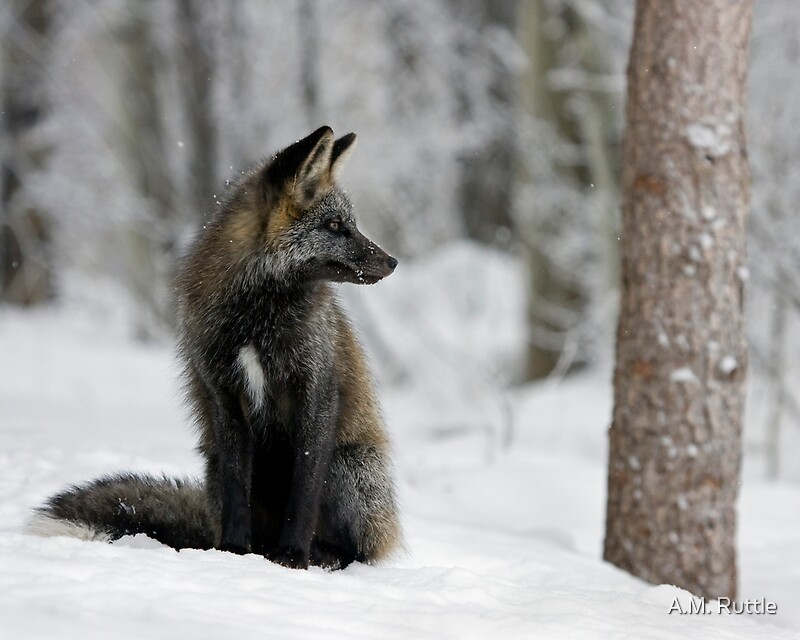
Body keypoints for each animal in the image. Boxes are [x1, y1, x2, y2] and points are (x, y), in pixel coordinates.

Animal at [29, 126, 402, 570]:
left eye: (351, 224)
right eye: (334, 225)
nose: (393, 261)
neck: (256, 320)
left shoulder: (317, 391)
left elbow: (303, 496)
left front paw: (293, 556)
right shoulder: (224, 395)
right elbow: (237, 492)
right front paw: (233, 552)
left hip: (347, 467)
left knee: (357, 552)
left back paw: (317, 554)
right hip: (216, 467)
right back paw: (253, 548)